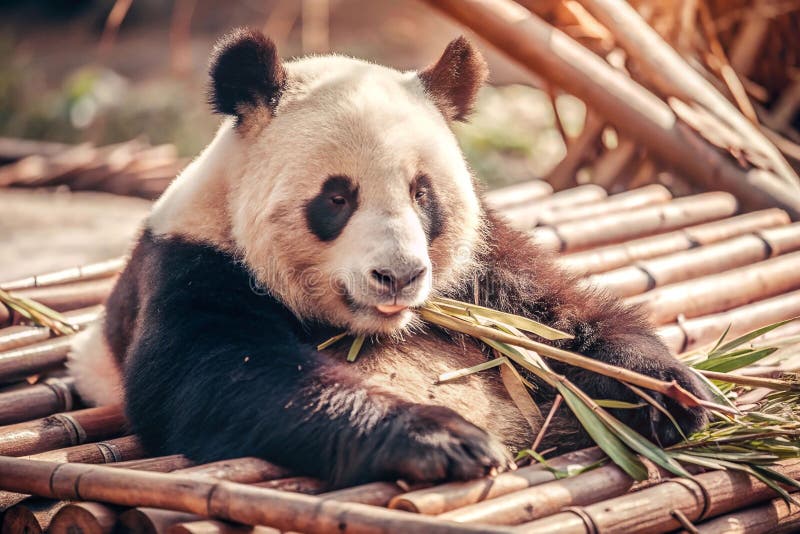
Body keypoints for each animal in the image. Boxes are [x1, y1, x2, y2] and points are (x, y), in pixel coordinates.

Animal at [69, 28, 709, 486]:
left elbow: (551, 316)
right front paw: (443, 440)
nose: (399, 276)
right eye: (336, 197)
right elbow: (221, 376)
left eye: (422, 193)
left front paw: (667, 390)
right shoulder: (196, 265)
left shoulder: (480, 269)